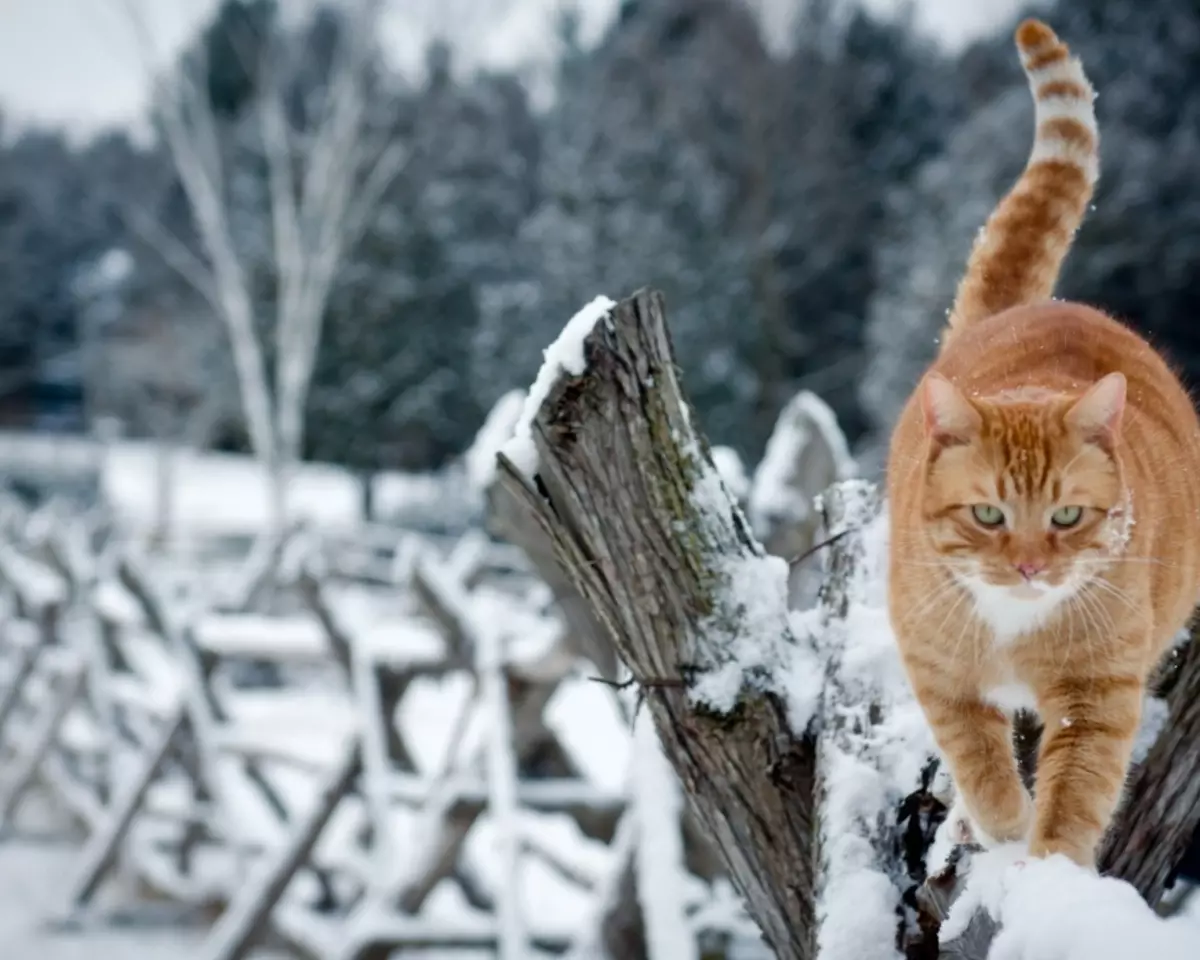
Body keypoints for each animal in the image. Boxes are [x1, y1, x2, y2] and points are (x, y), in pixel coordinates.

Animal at [888, 16, 1200, 868]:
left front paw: (1050, 867)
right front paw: (999, 823)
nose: (1030, 567)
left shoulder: (1096, 696)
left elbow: (1073, 801)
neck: (1012, 627)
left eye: (1065, 517)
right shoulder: (940, 674)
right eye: (987, 515)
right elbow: (980, 761)